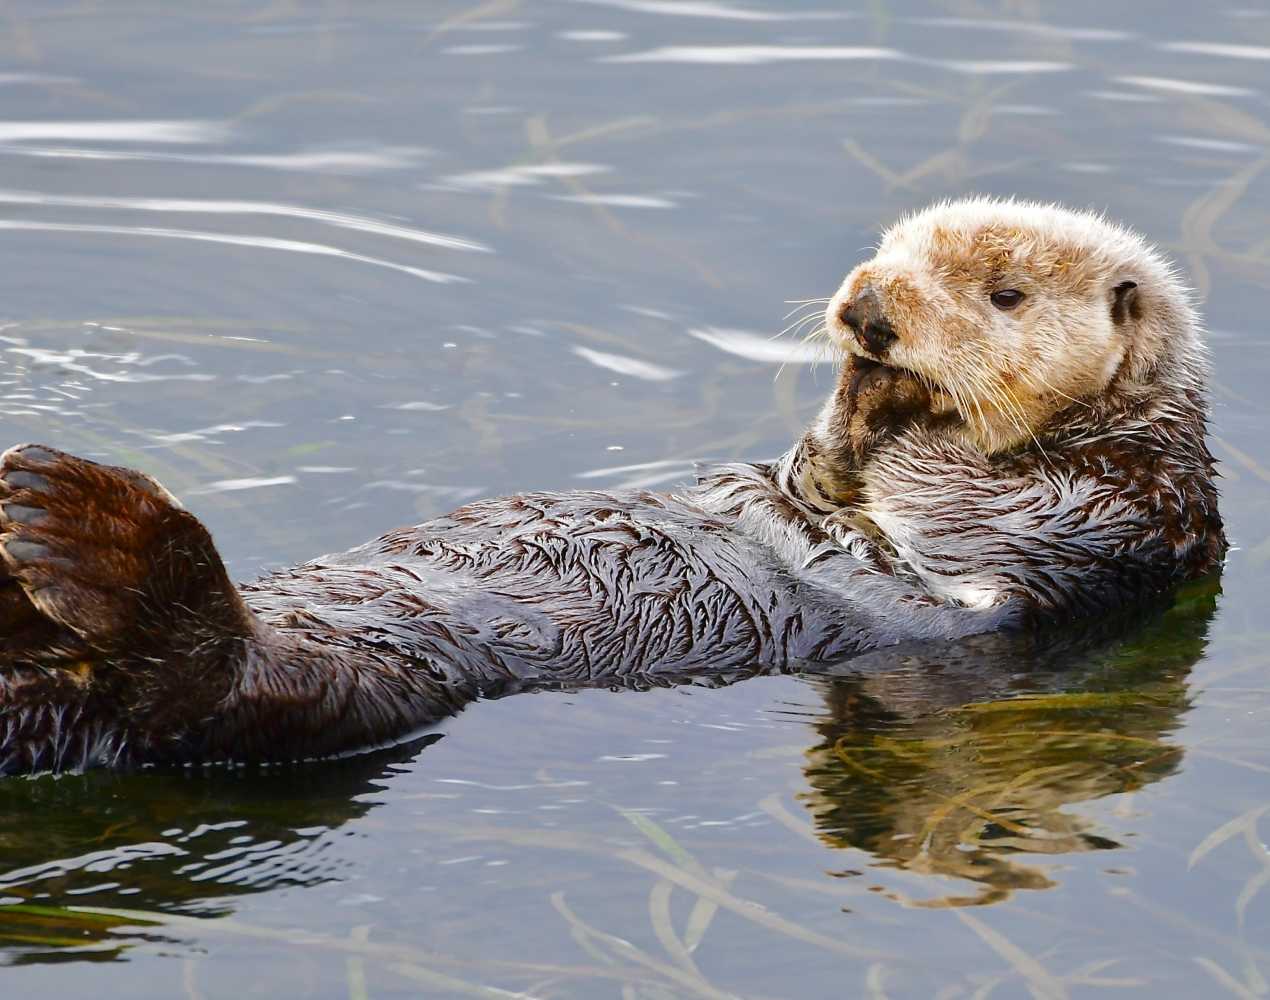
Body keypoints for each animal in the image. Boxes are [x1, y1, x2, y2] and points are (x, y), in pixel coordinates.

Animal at [0, 198, 1225, 774]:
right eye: (889, 247)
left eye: (1005, 292)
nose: (867, 304)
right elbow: (816, 477)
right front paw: (845, 404)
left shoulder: (1109, 513)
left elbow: (954, 500)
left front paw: (889, 403)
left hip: (347, 697)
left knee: (212, 684)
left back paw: (70, 520)